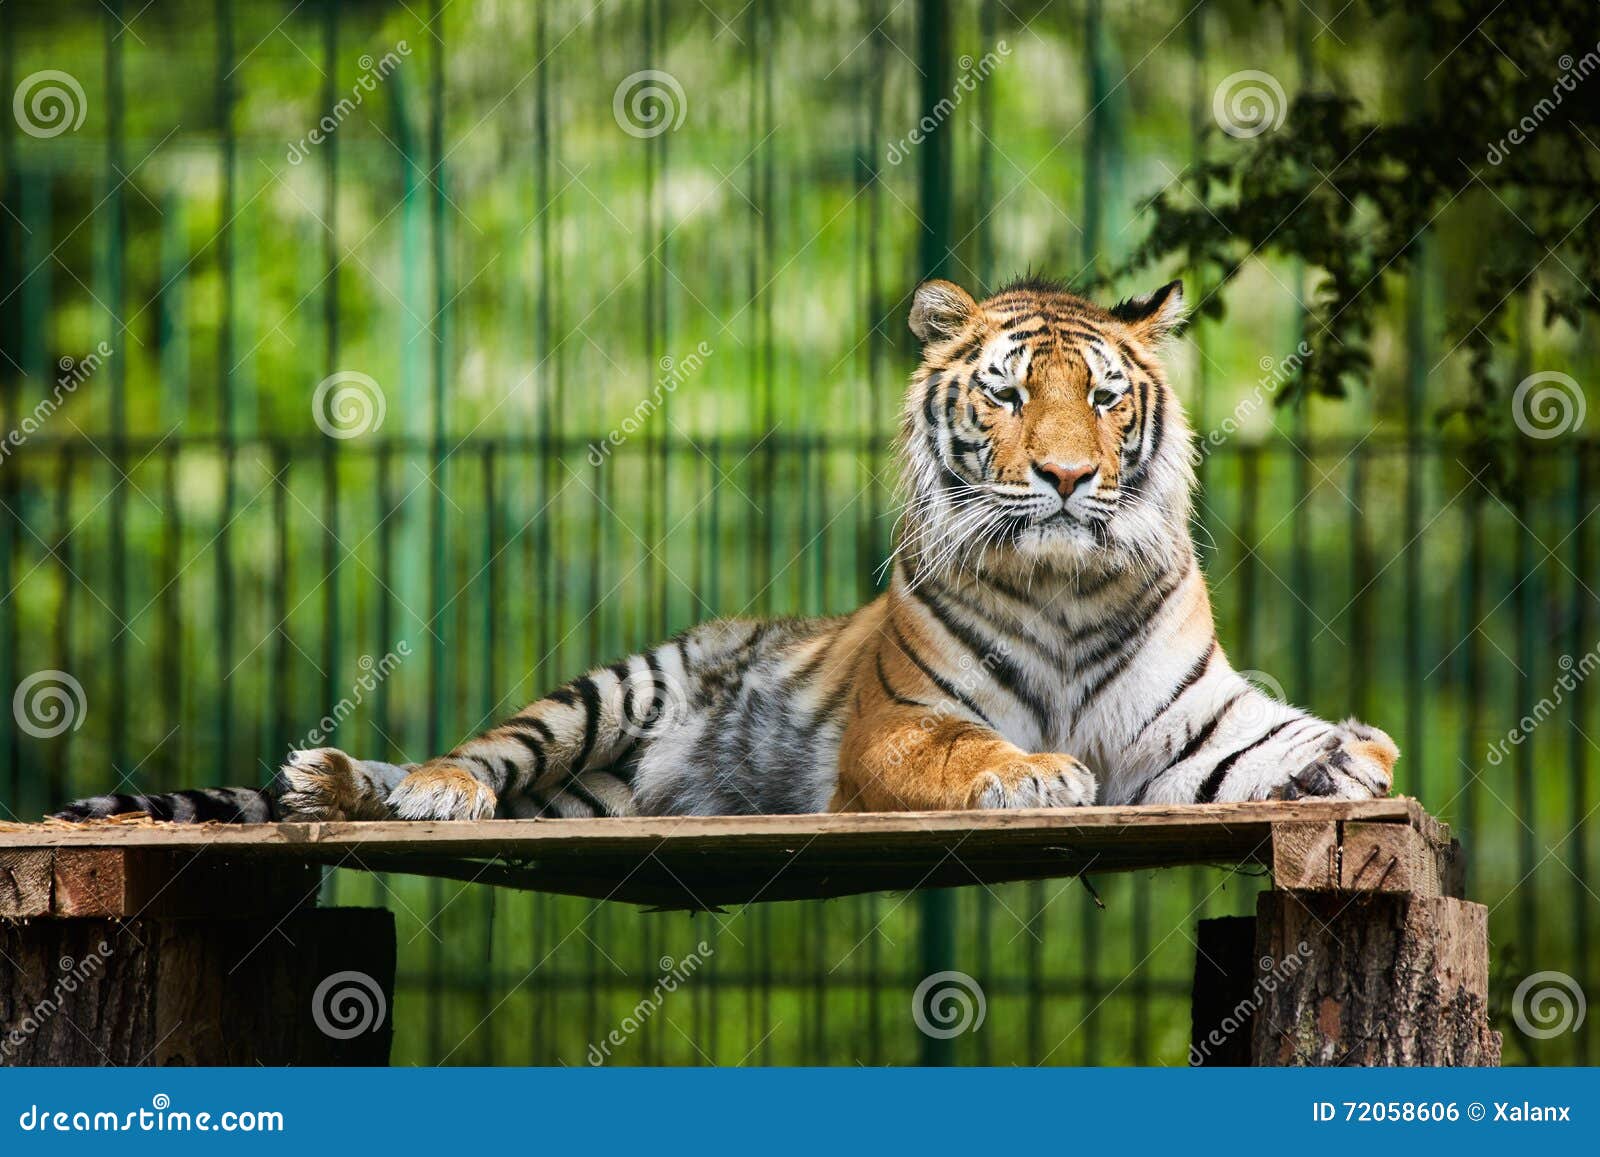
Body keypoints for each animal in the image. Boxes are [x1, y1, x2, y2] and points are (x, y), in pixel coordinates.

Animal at [57, 276, 1397, 825]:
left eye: (1107, 399)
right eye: (1012, 394)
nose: (1069, 477)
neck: (1062, 583)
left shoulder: (1198, 722)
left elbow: (1285, 747)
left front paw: (1346, 754)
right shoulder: (894, 727)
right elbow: (966, 745)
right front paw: (1032, 774)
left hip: (592, 794)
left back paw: (337, 785)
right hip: (601, 695)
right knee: (479, 755)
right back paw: (393, 785)